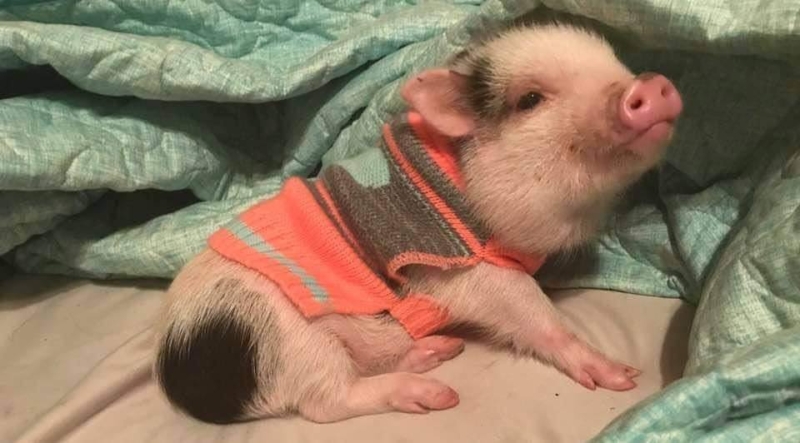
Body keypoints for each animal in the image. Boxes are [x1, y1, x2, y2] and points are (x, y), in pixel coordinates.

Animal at [153, 23, 683, 424]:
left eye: (616, 64)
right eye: (530, 99)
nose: (651, 84)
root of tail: (175, 373)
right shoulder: (458, 269)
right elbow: (533, 311)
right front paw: (621, 376)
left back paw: (440, 351)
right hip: (289, 338)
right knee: (325, 404)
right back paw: (437, 396)